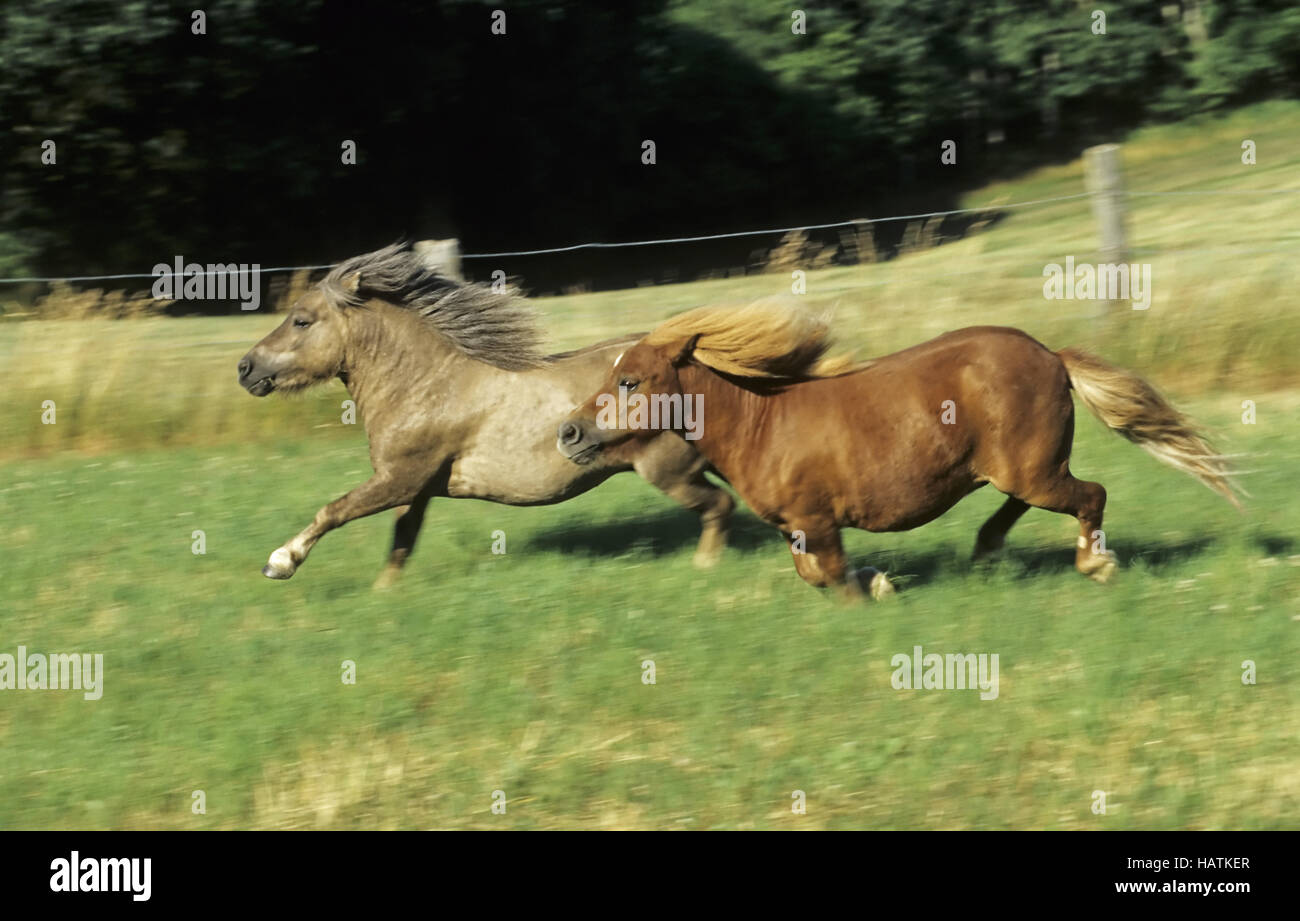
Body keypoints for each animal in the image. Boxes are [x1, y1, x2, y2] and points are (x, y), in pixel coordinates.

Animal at [236, 243, 733, 586]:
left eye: (302, 320)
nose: (246, 368)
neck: (423, 384)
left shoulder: (401, 478)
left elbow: (333, 510)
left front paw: (279, 562)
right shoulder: (414, 488)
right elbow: (401, 540)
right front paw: (384, 594)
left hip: (669, 471)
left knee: (719, 507)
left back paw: (705, 567)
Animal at [557, 303, 1242, 599]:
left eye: (629, 380)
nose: (568, 433)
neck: (762, 423)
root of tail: (1052, 355)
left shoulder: (816, 520)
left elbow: (832, 576)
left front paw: (874, 588)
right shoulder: (797, 527)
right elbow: (815, 574)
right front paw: (880, 579)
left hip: (1036, 471)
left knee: (1090, 496)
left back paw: (1096, 564)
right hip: (1019, 470)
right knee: (1022, 505)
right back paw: (986, 550)